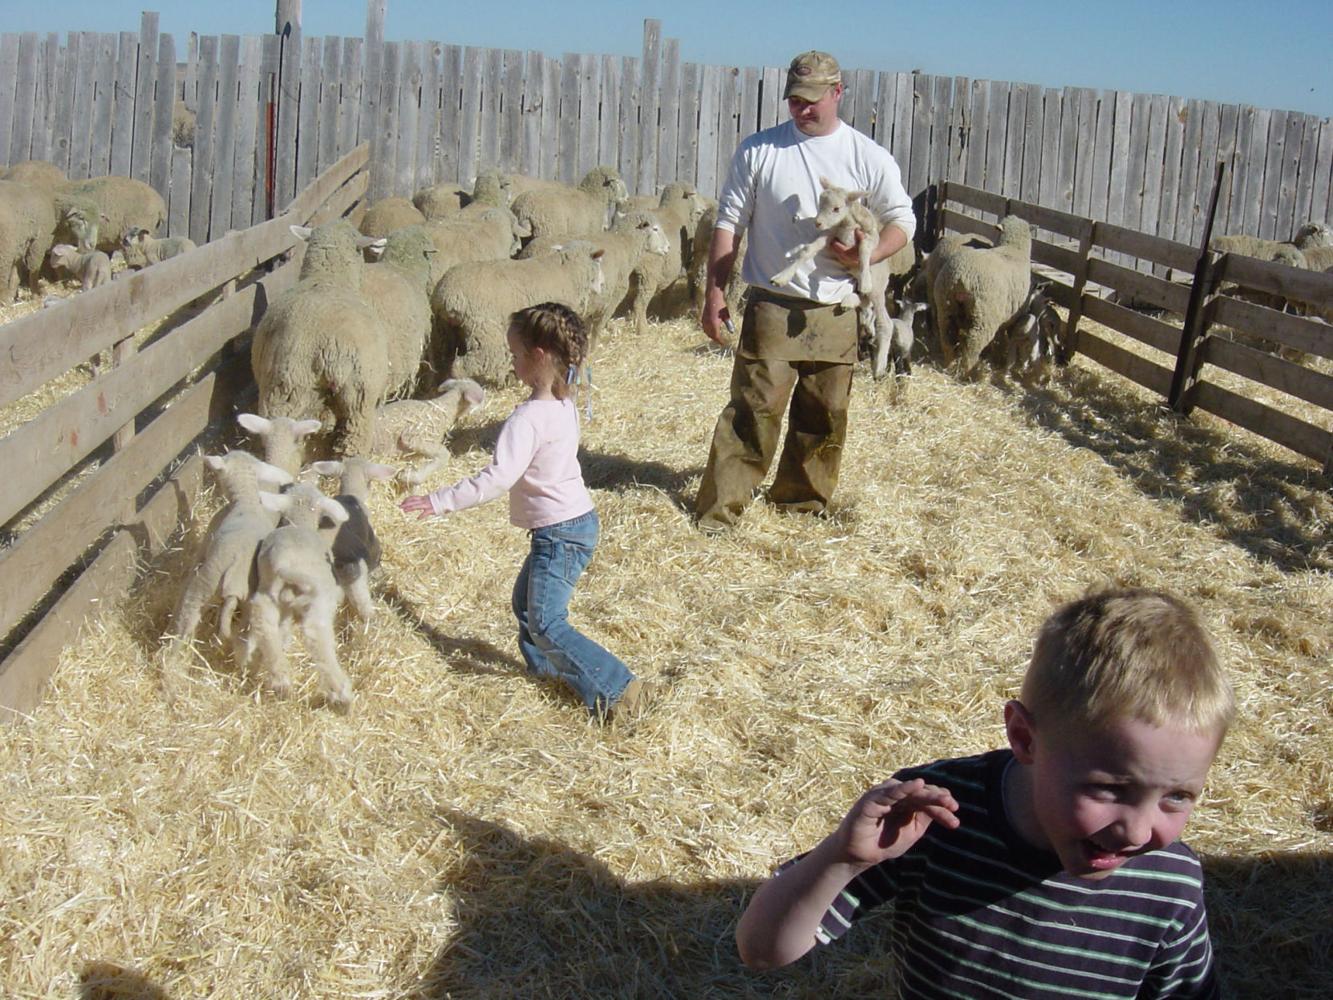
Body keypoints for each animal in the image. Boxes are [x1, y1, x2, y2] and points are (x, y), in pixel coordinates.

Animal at [163, 450, 294, 670]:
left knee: (185, 621)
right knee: (244, 638)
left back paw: (168, 659)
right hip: (250, 605)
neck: (246, 500)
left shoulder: (208, 538)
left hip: (204, 584)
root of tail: (234, 583)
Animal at [245, 482, 354, 709]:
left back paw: (280, 680)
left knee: (264, 620)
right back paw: (342, 696)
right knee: (317, 637)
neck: (301, 523)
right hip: (317, 603)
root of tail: (286, 563)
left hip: (267, 591)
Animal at [430, 243, 606, 384]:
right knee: (471, 362)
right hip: (485, 329)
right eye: (598, 262)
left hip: (449, 329)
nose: (603, 284)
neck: (570, 272)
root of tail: (444, 293)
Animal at [926, 215, 1034, 376]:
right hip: (984, 316)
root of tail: (960, 276)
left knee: (947, 336)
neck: (1013, 249)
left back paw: (949, 364)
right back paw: (967, 372)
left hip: (945, 304)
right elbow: (1002, 336)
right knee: (973, 344)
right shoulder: (1011, 317)